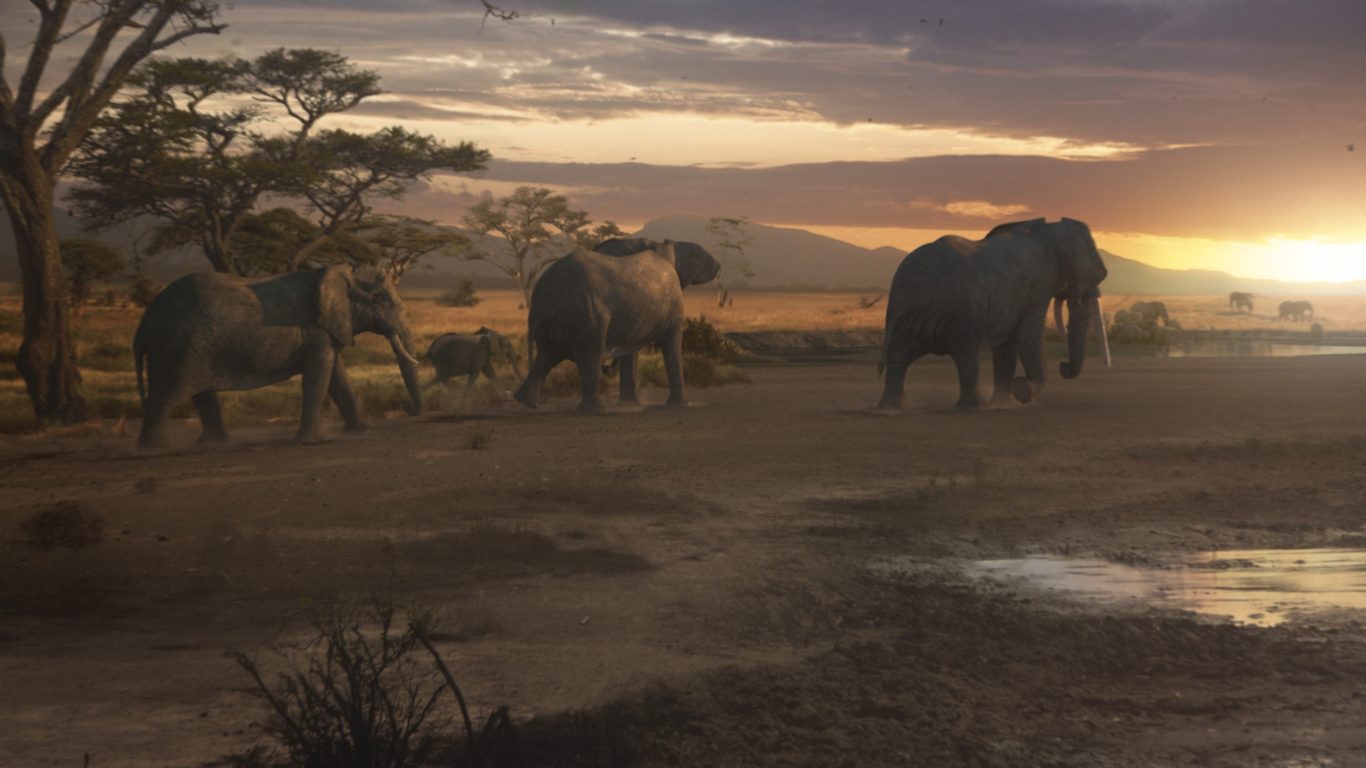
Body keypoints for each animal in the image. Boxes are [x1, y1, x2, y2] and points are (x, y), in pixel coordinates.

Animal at [133, 264, 423, 449]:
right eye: (380, 299)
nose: (406, 407)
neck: (338, 273)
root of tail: (144, 323)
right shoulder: (315, 330)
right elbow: (319, 375)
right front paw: (308, 443)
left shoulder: (326, 330)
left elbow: (337, 376)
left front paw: (360, 431)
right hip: (173, 349)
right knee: (165, 396)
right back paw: (153, 450)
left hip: (191, 349)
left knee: (200, 394)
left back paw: (214, 443)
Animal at [514, 238, 720, 412]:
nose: (608, 368)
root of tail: (539, 299)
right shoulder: (673, 305)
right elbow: (671, 346)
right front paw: (681, 405)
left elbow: (630, 352)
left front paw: (630, 405)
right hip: (586, 317)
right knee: (590, 354)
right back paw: (594, 410)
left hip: (557, 319)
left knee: (546, 356)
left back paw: (525, 403)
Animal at [877, 217, 1110, 411]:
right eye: (1099, 274)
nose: (1063, 365)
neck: (1051, 230)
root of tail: (906, 290)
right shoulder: (1037, 288)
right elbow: (1028, 336)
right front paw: (1022, 390)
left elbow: (1006, 347)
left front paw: (1001, 403)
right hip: (964, 312)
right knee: (967, 353)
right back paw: (973, 407)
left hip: (908, 320)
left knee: (898, 357)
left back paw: (892, 408)